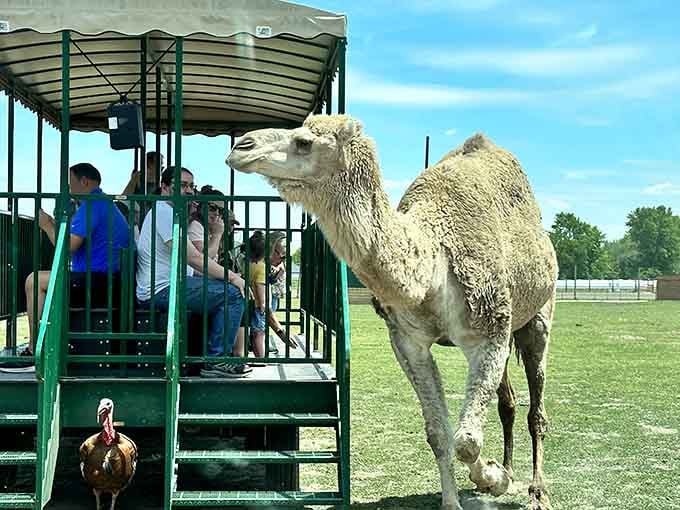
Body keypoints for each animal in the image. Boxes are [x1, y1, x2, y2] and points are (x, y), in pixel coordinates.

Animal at [227, 114, 558, 510]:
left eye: (304, 141)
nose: (241, 146)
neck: (432, 263)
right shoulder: (408, 341)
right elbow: (439, 434)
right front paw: (466, 493)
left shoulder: (488, 330)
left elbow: (466, 440)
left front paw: (494, 478)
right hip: (509, 330)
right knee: (507, 403)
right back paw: (507, 470)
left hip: (539, 315)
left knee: (536, 407)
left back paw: (537, 491)